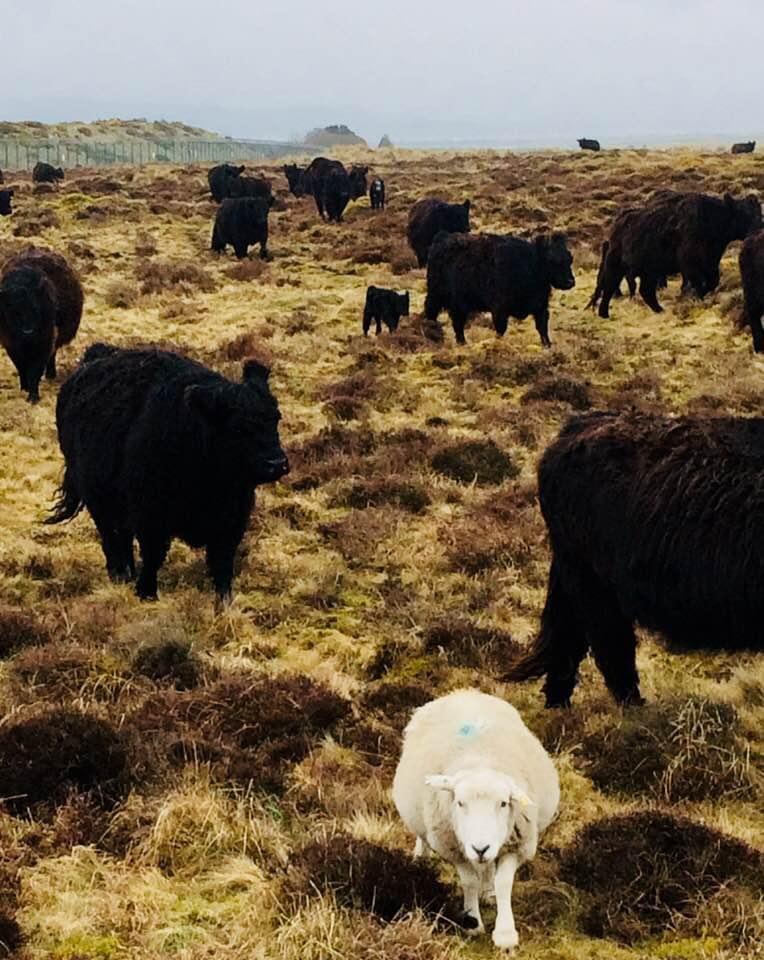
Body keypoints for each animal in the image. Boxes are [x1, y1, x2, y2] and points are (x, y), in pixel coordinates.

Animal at [0, 248, 83, 402]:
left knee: (52, 356)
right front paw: (25, 388)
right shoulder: (11, 345)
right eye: (12, 310)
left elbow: (36, 370)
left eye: (35, 307)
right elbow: (21, 367)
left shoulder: (44, 342)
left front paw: (33, 396)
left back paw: (51, 374)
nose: (28, 331)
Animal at [47, 345, 289, 602]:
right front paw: (146, 593)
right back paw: (120, 575)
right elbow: (154, 556)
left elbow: (222, 564)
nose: (277, 463)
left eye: (276, 417)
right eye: (238, 427)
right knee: (112, 539)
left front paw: (224, 601)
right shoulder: (151, 517)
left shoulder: (232, 521)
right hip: (99, 500)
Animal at [425, 231, 574, 346]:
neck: (531, 263)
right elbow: (500, 329)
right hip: (435, 295)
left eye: (569, 258)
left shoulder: (541, 308)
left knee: (458, 323)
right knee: (431, 313)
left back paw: (462, 342)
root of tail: (442, 238)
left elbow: (542, 328)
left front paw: (547, 346)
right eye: (552, 260)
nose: (570, 282)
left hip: (459, 303)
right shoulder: (500, 309)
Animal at [504, 411, 764, 707]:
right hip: (593, 585)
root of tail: (573, 430)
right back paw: (634, 708)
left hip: (575, 578)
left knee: (568, 640)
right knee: (611, 648)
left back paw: (559, 706)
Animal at [588, 191, 762, 318]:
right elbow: (698, 283)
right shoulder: (690, 265)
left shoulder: (710, 263)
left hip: (649, 272)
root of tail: (617, 223)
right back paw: (604, 314)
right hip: (616, 265)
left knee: (646, 291)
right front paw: (694, 299)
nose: (759, 228)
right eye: (744, 213)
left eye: (759, 212)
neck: (711, 218)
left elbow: (712, 282)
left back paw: (660, 310)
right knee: (609, 286)